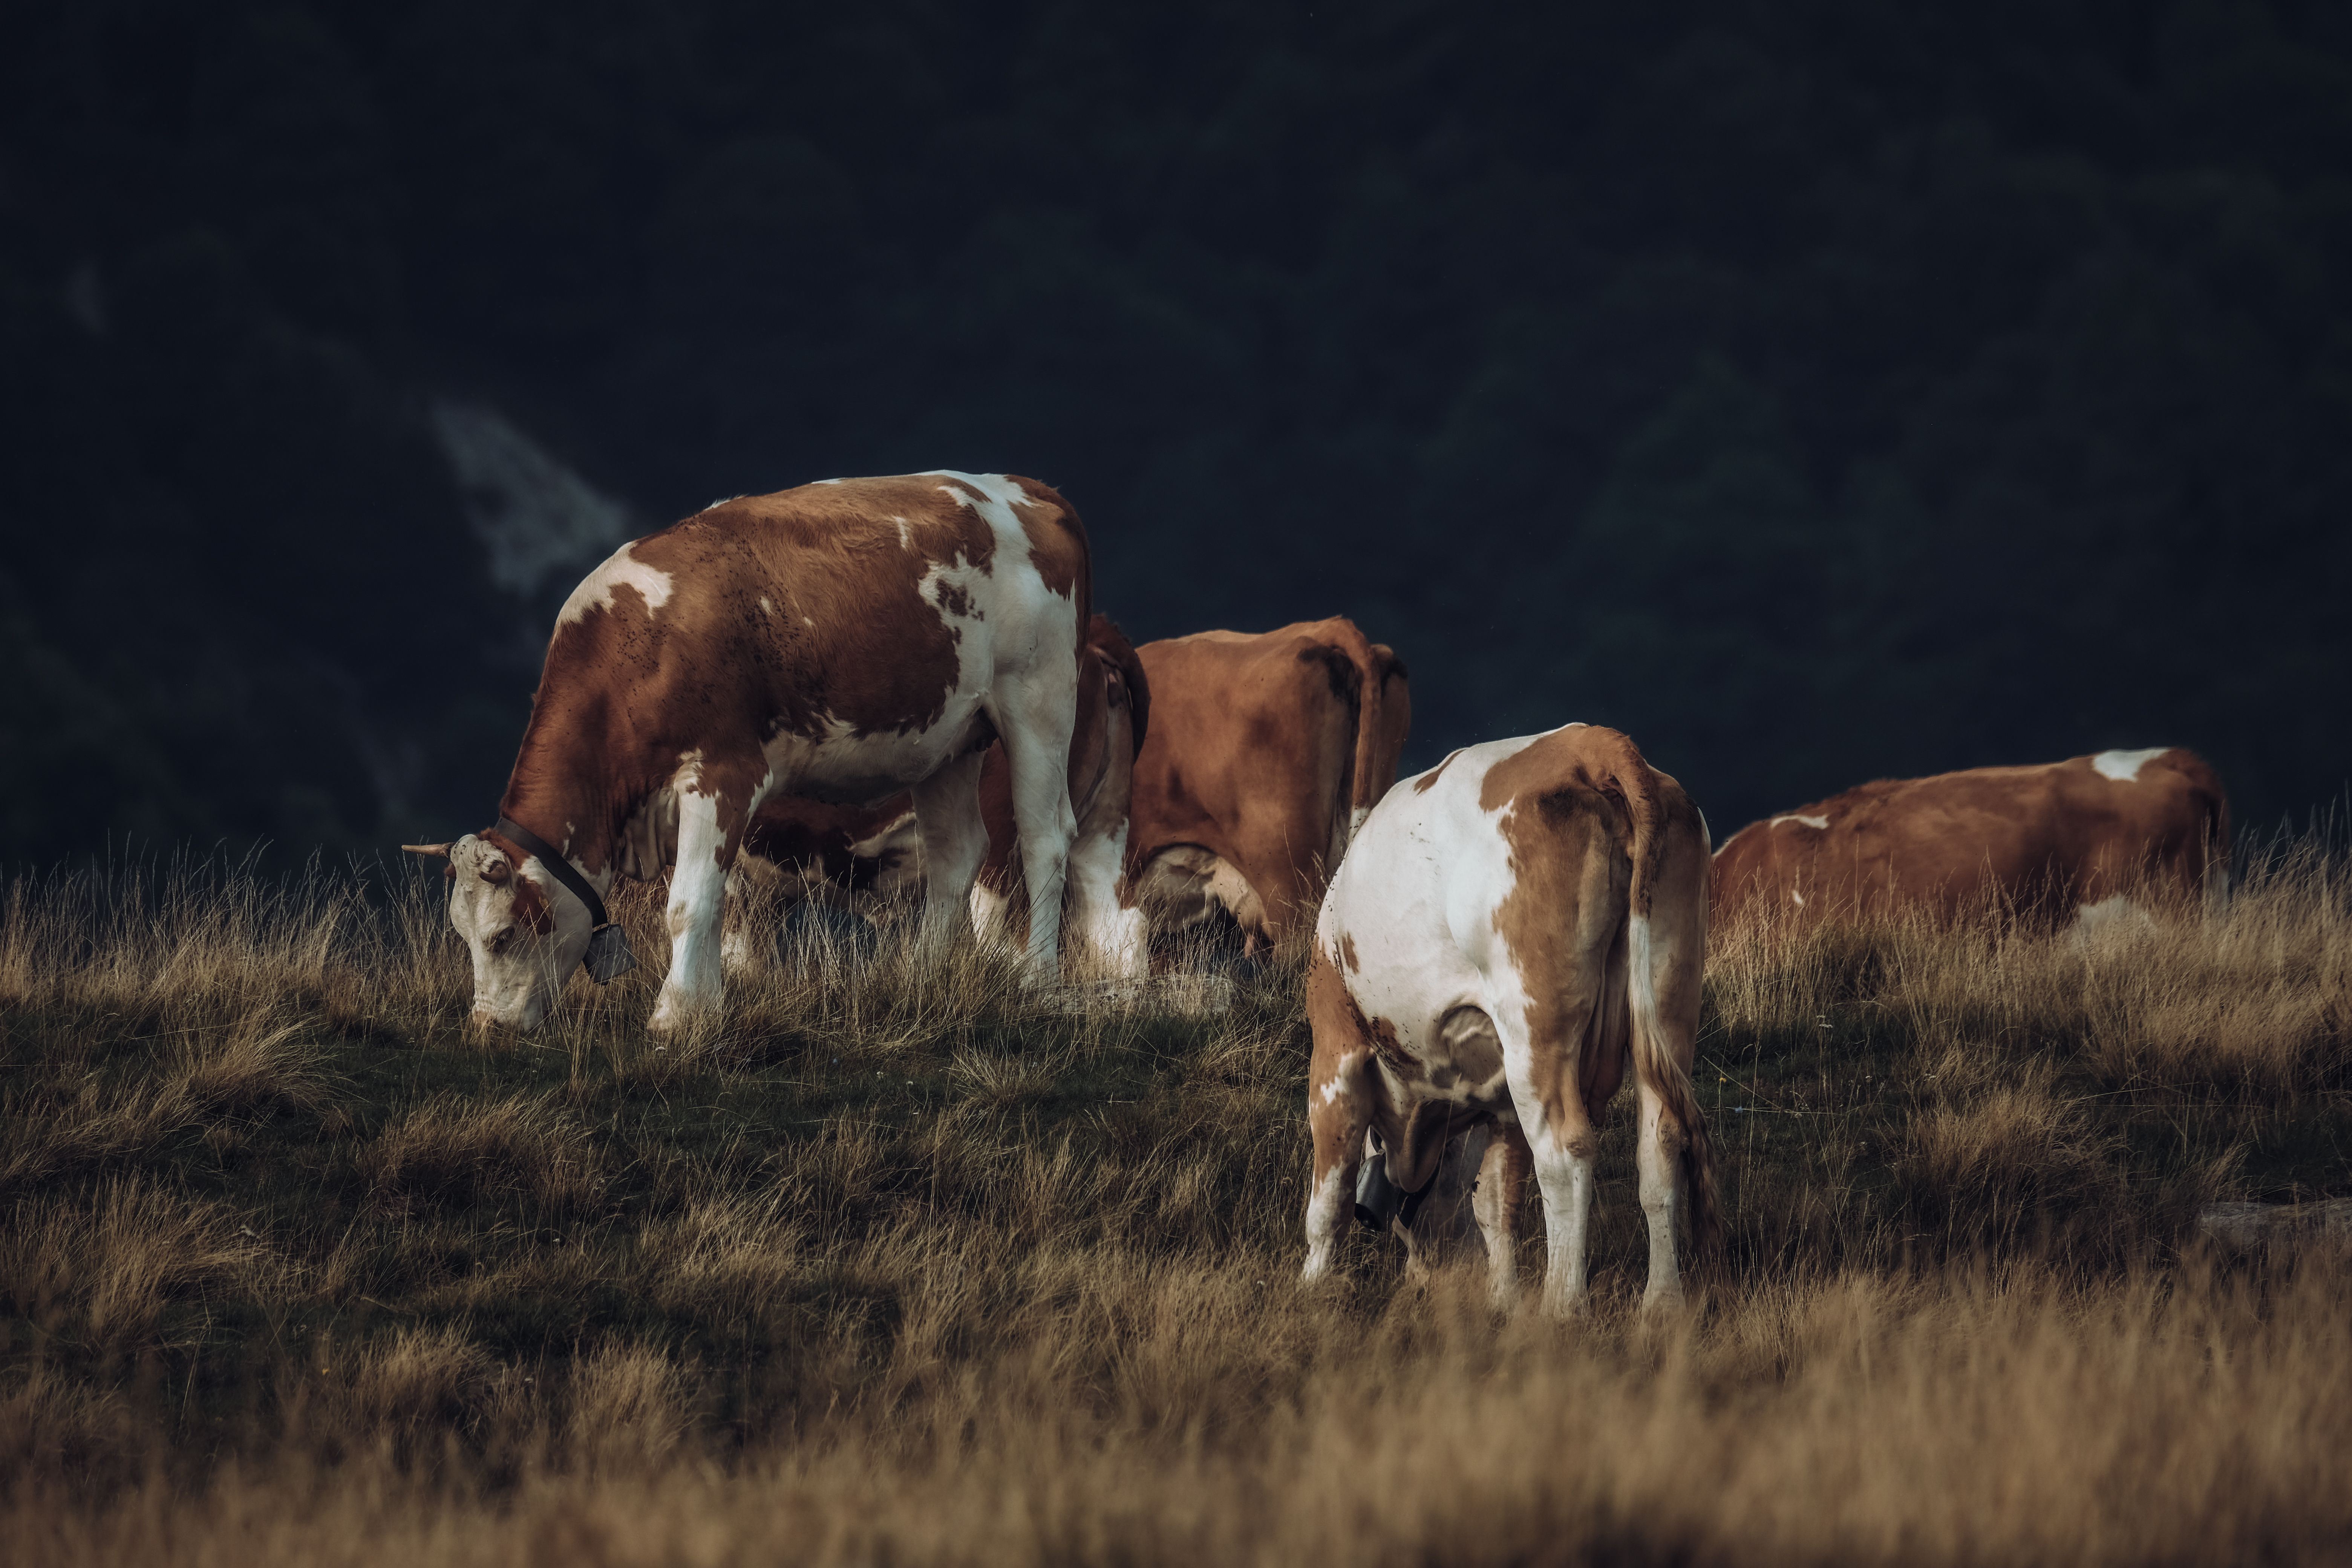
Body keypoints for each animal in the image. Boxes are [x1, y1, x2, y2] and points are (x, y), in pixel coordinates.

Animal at [402, 471, 1092, 1032]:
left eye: (502, 936)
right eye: (463, 936)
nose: (487, 1029)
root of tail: (1031, 490)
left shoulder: (723, 775)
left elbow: (689, 904)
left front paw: (676, 1016)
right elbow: (719, 903)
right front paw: (706, 1005)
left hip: (1040, 697)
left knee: (1045, 839)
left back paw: (1037, 984)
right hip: (949, 738)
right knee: (957, 853)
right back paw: (919, 980)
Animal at [1302, 723, 1720, 1316]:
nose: (1421, 1277)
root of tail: (1588, 744)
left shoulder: (1336, 1049)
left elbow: (1329, 1193)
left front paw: (1311, 1285)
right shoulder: (1501, 1100)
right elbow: (1495, 1202)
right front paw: (1503, 1298)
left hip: (1536, 1031)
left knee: (1567, 1153)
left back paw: (1563, 1304)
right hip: (1668, 1000)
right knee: (1660, 1145)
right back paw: (1662, 1304)